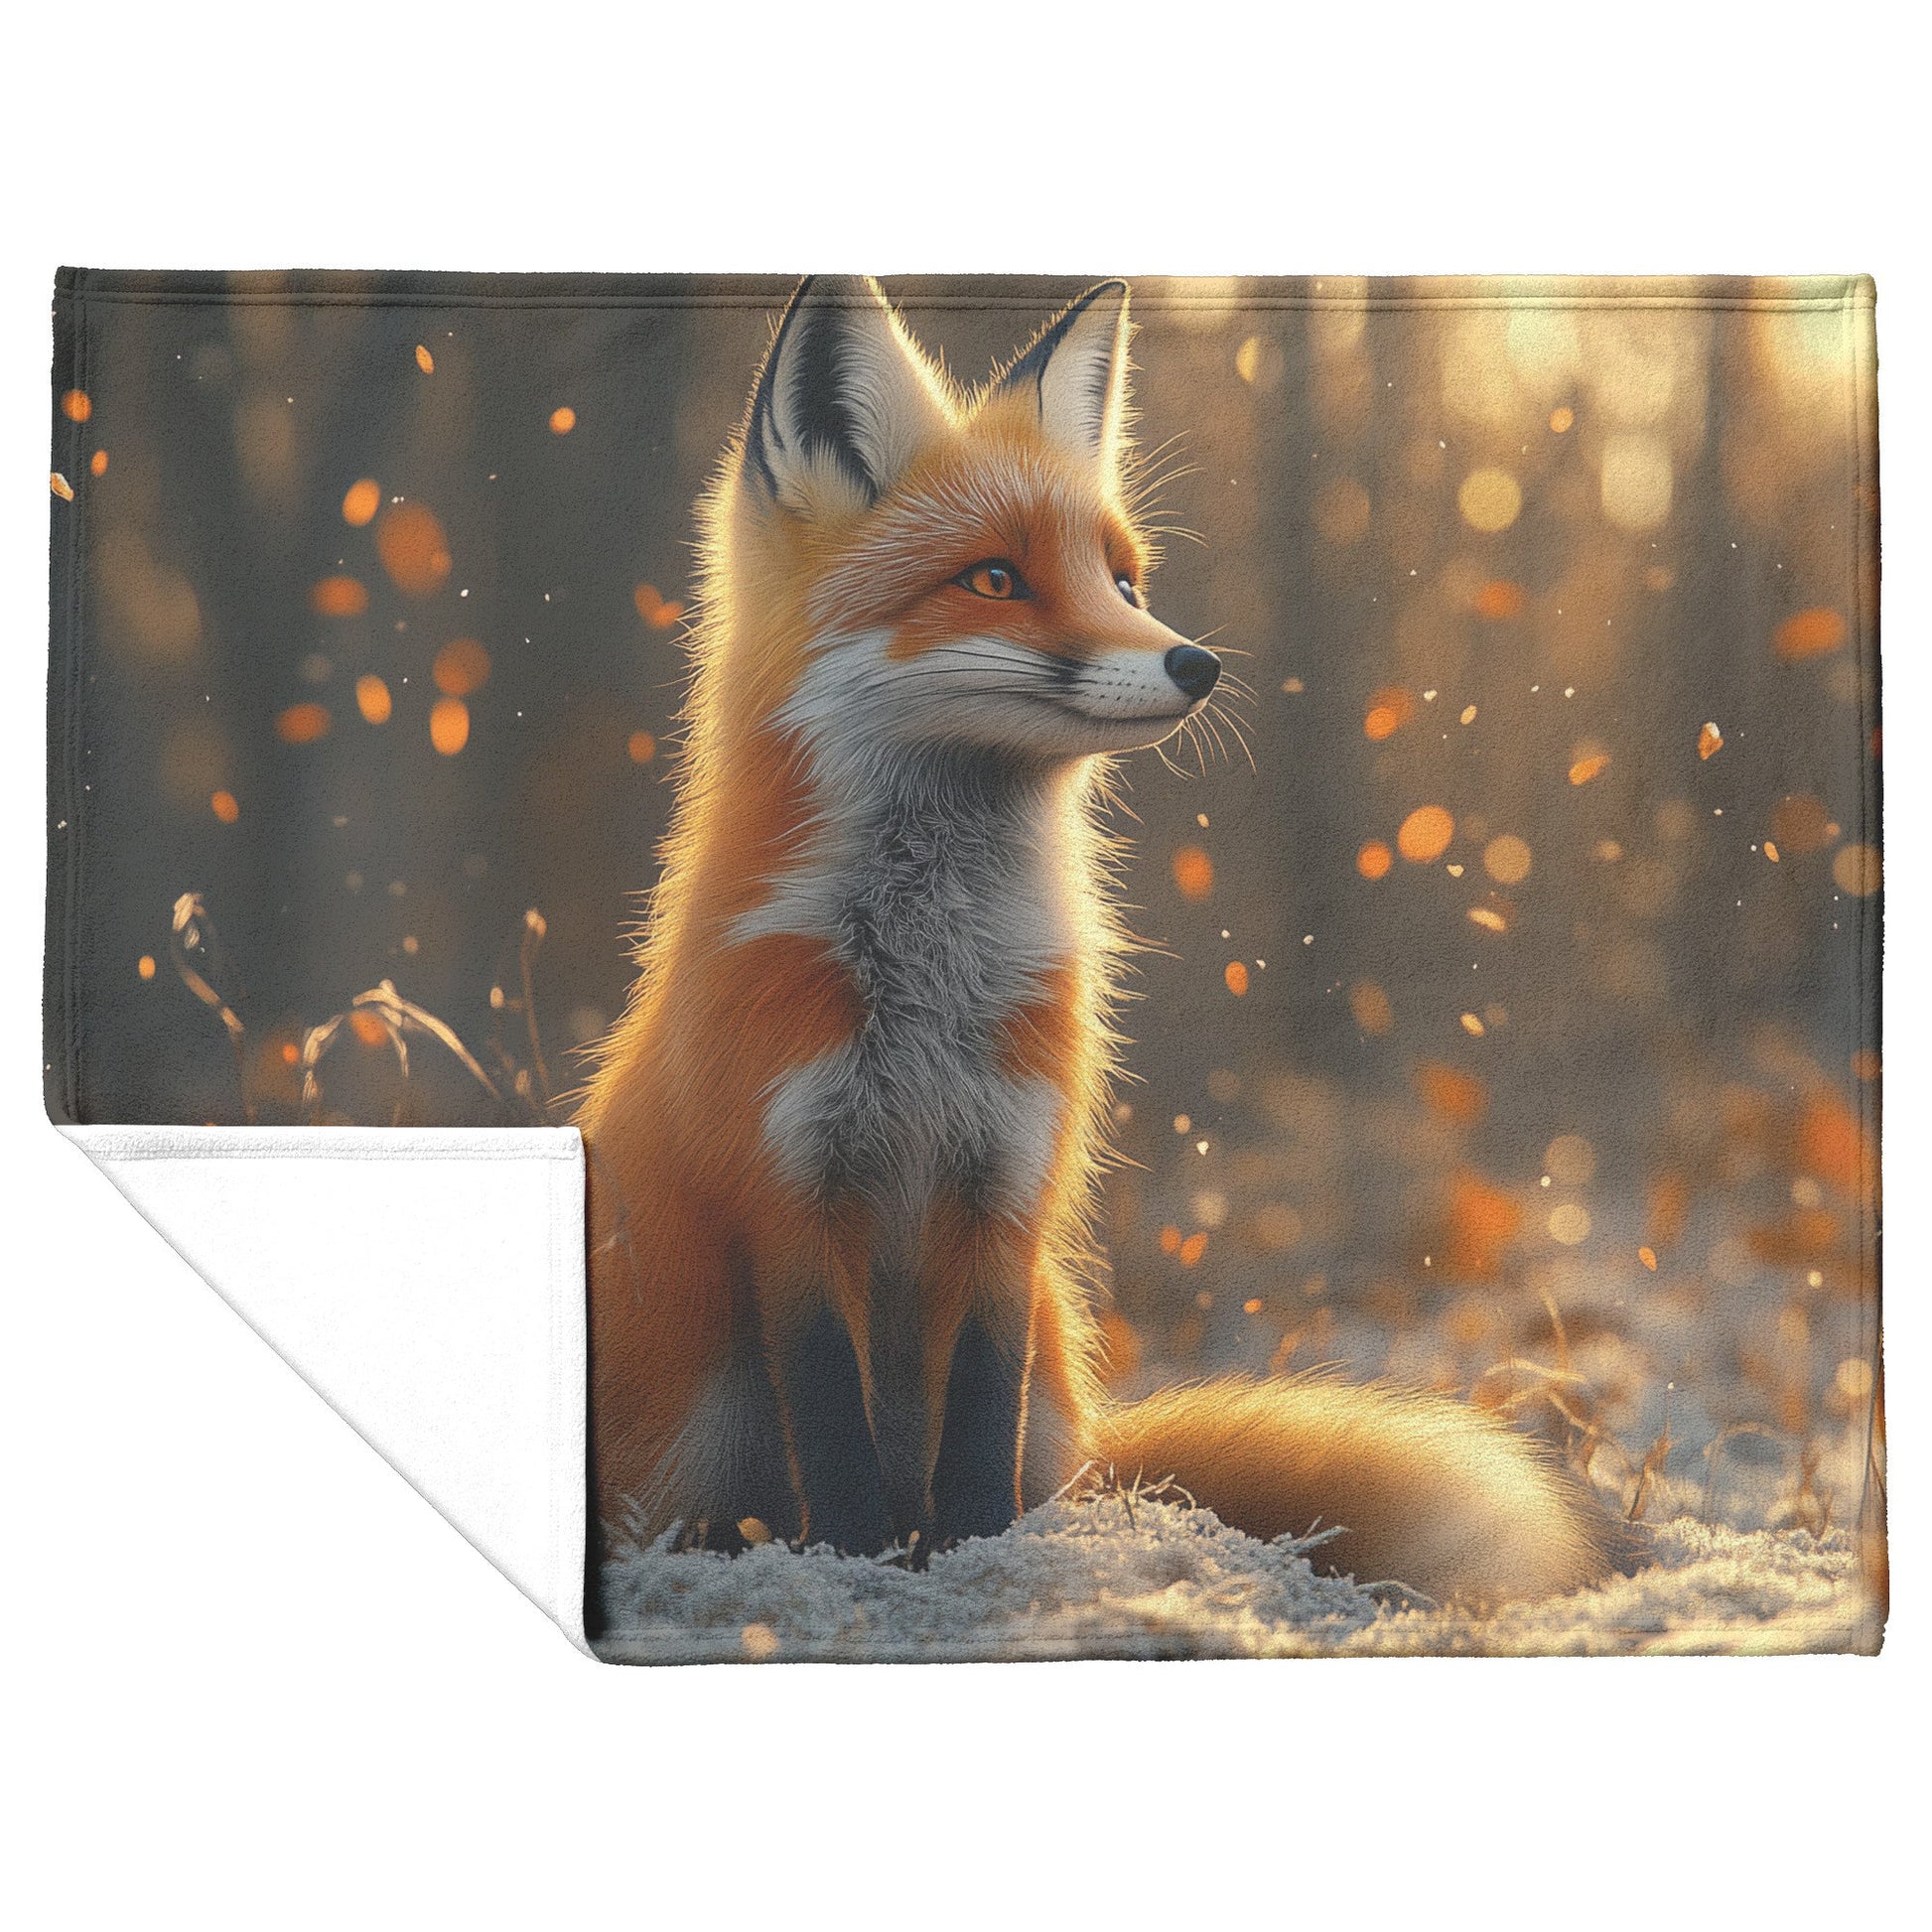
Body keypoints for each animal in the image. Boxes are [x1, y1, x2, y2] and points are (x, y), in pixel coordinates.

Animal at [578, 275, 1621, 1607]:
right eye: (991, 578)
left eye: (1121, 581)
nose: (1197, 660)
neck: (928, 990)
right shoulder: (786, 1193)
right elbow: (837, 1435)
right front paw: (866, 1567)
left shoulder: (1009, 1183)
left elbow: (974, 1423)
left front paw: (977, 1559)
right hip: (704, 1426)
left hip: (1047, 1404)